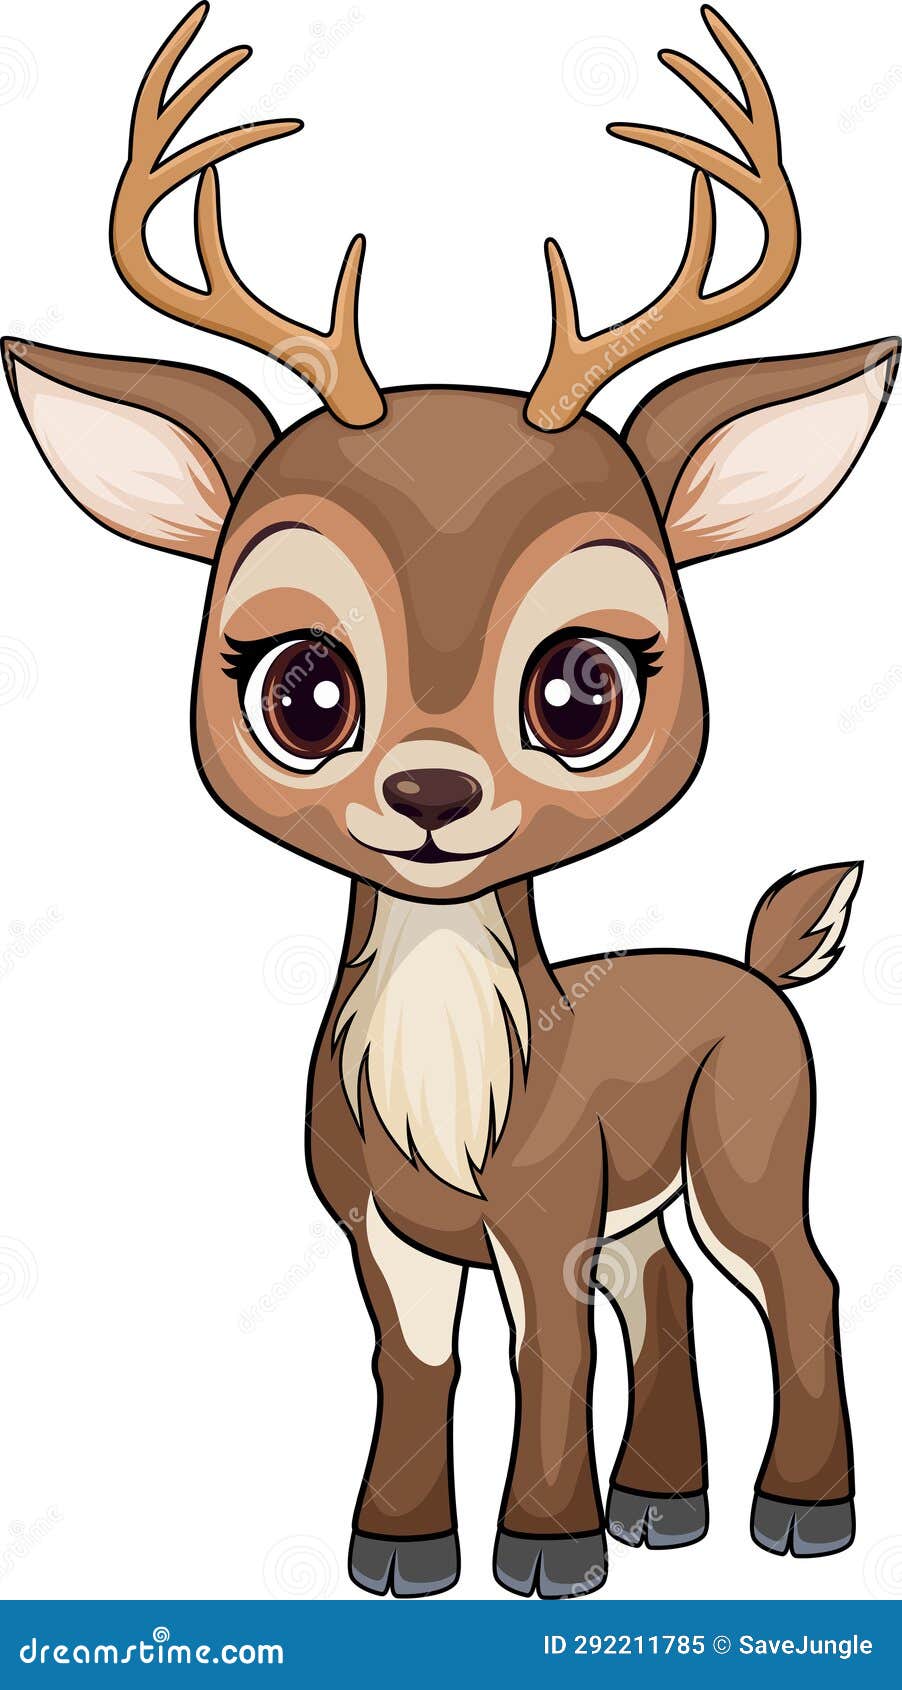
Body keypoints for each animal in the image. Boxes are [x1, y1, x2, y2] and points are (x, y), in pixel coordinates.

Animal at [4, 3, 897, 1600]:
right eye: (301, 688)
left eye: (581, 689)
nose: (428, 789)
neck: (449, 1090)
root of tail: (752, 963)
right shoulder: (386, 1230)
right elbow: (414, 1368)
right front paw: (400, 1545)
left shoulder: (539, 1215)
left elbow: (547, 1362)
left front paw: (548, 1548)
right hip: (646, 1200)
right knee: (663, 1284)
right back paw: (664, 1507)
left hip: (747, 1152)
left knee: (800, 1278)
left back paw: (800, 1514)